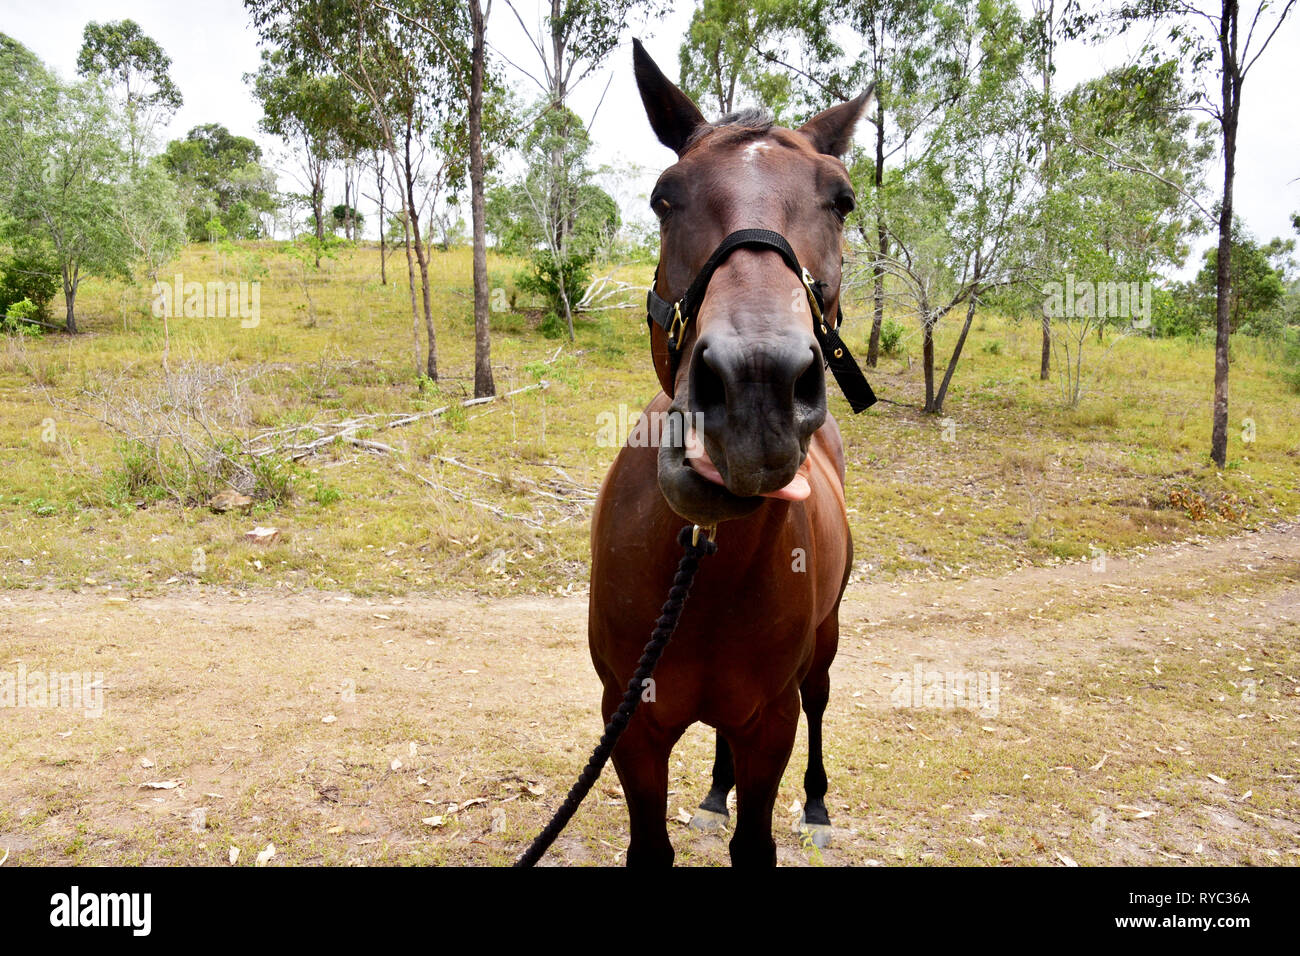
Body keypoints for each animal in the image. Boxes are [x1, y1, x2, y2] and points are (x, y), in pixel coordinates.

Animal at [587, 40, 873, 867]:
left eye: (842, 200)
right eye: (664, 198)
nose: (756, 386)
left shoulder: (769, 722)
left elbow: (757, 840)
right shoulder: (630, 722)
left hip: (825, 644)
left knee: (821, 700)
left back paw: (817, 804)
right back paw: (715, 791)